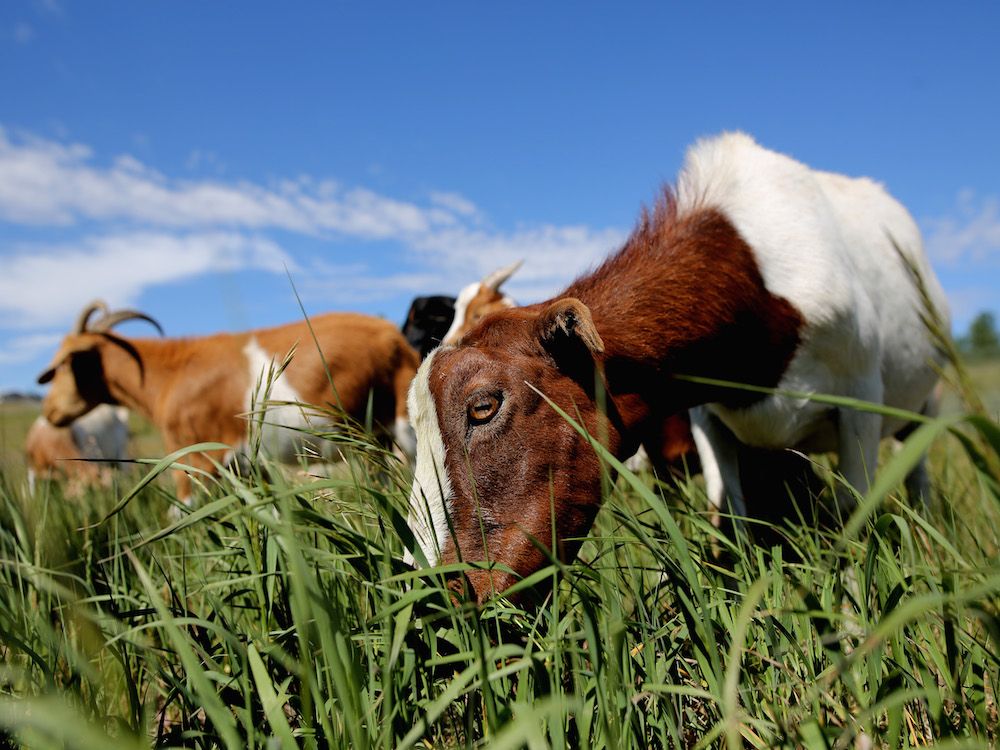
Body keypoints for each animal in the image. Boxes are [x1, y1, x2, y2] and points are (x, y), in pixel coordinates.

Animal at [39, 301, 420, 503]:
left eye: (63, 365)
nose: (50, 412)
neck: (172, 372)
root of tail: (395, 337)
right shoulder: (247, 466)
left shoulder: (194, 457)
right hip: (374, 440)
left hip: (405, 426)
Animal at [404, 132, 949, 601]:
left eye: (483, 406)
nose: (429, 591)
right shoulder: (707, 416)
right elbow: (729, 514)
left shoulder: (860, 398)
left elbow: (851, 517)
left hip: (928, 401)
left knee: (920, 474)